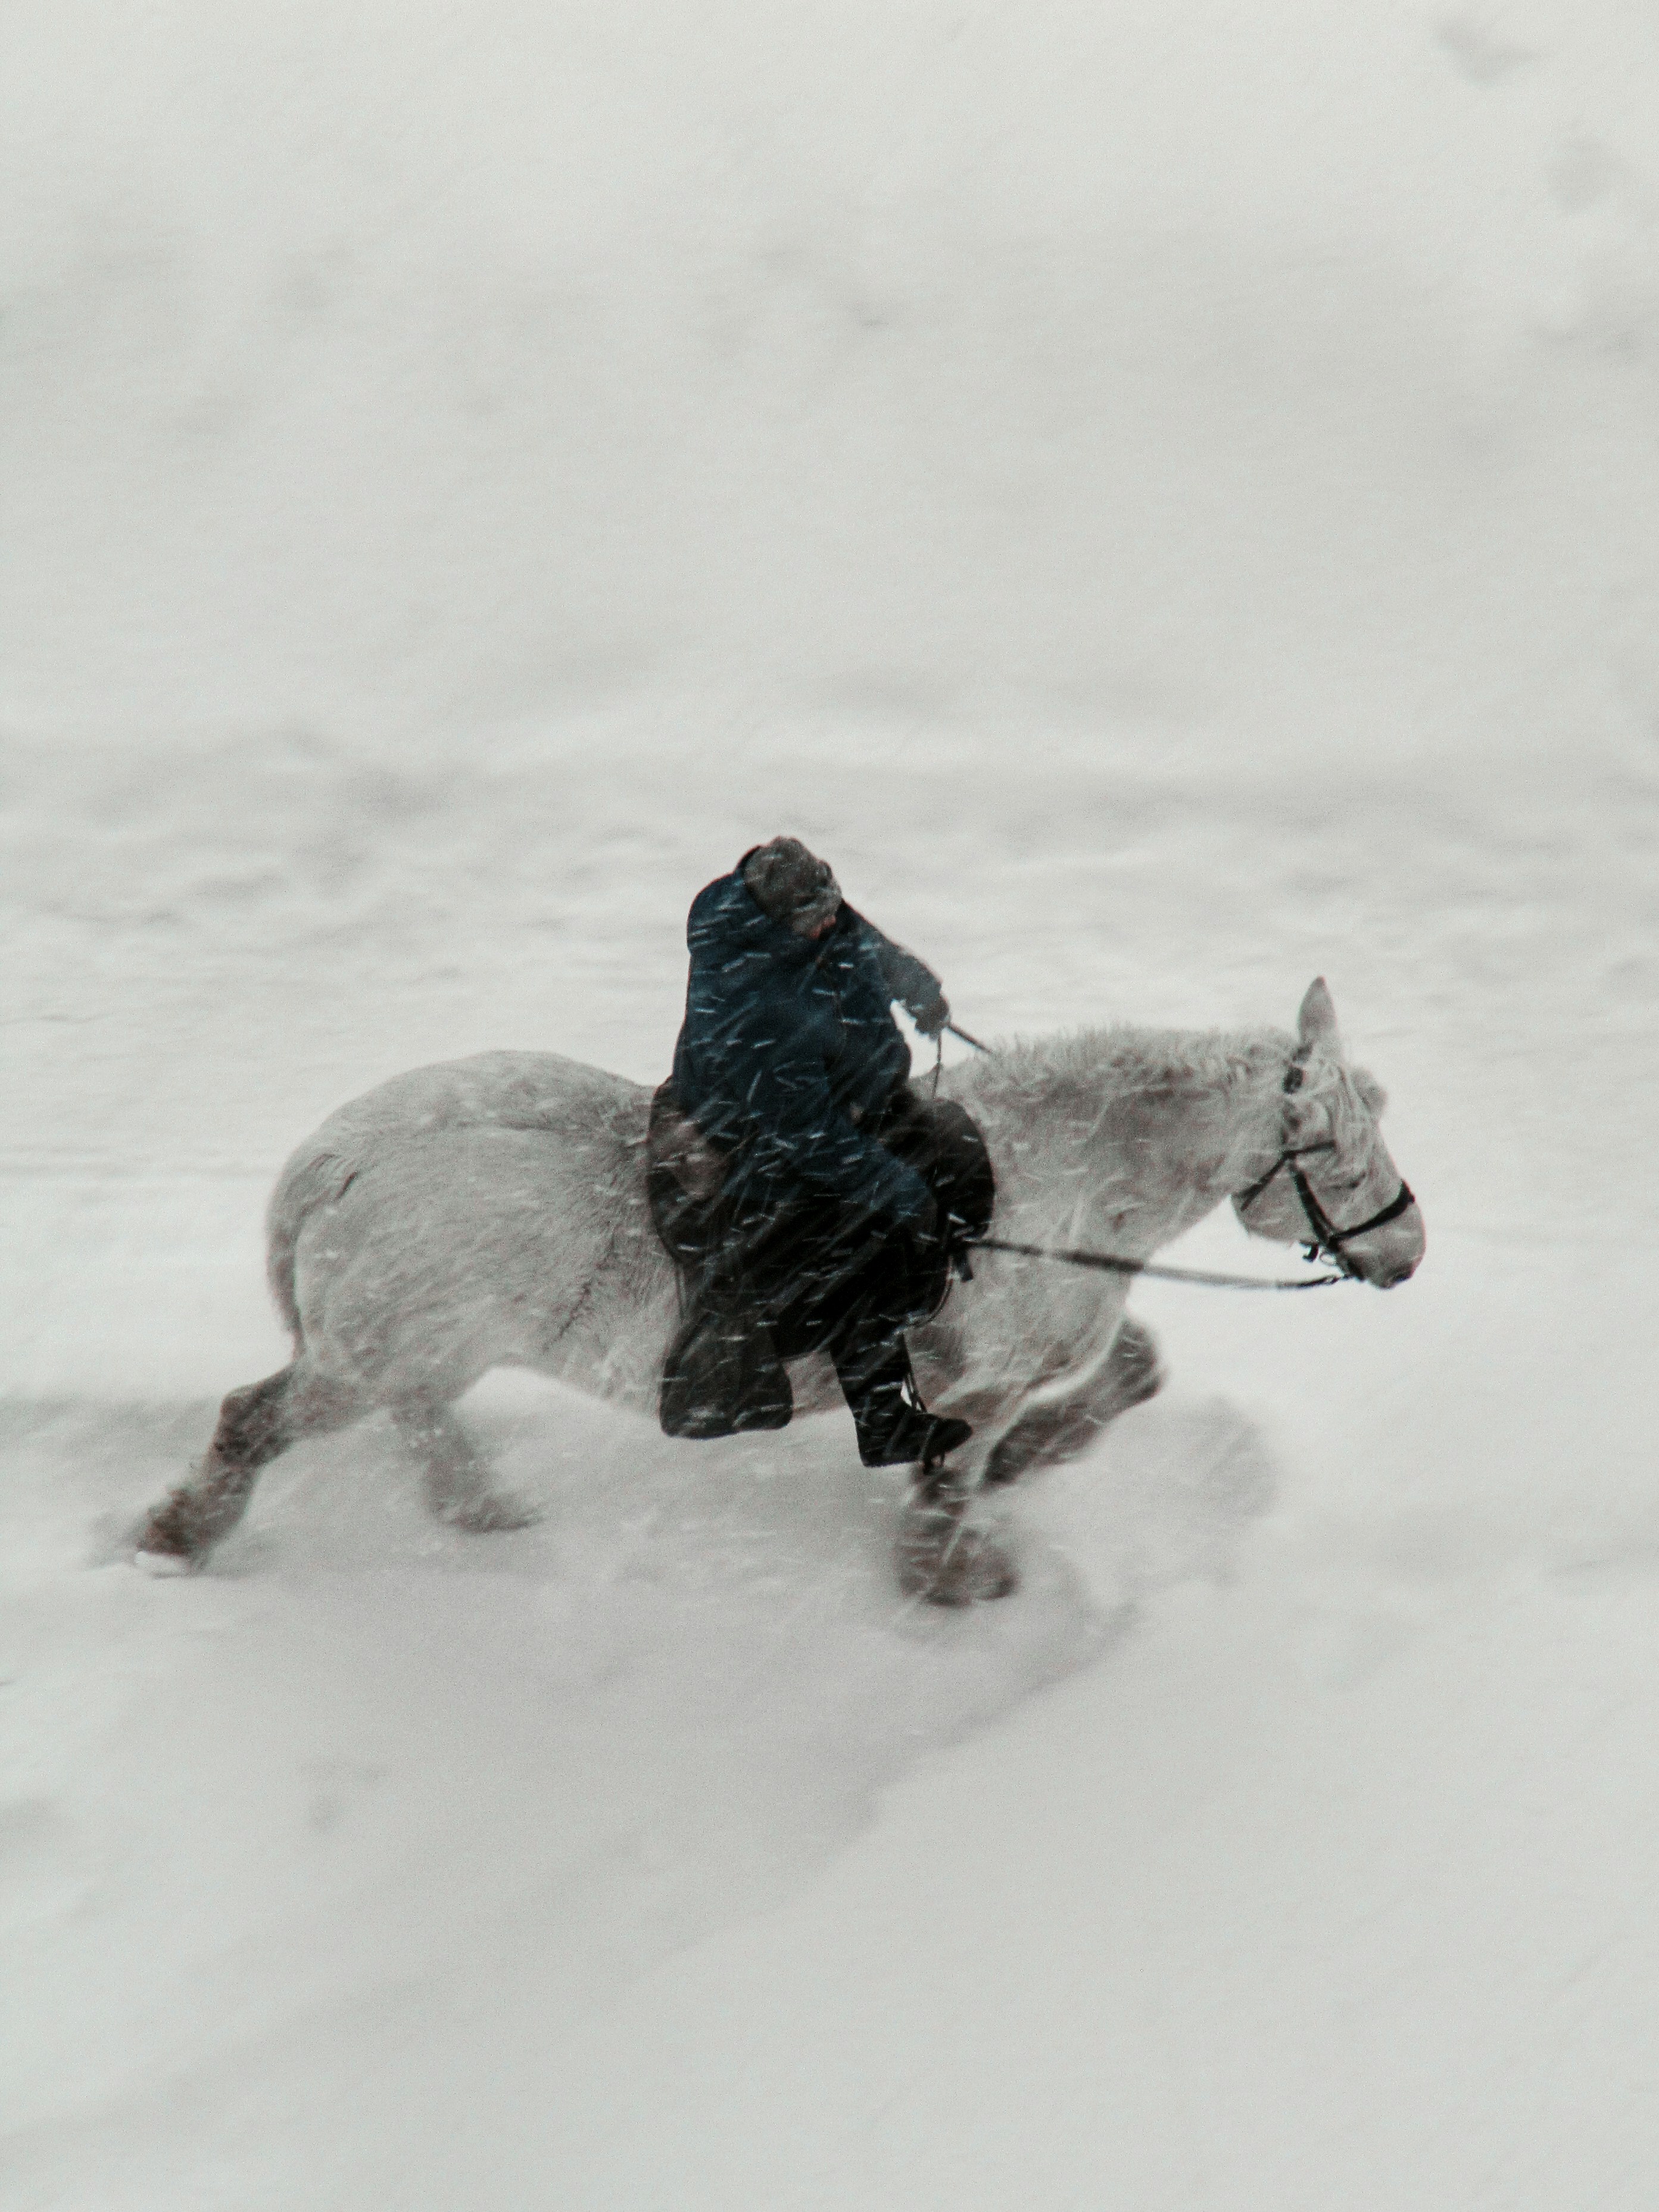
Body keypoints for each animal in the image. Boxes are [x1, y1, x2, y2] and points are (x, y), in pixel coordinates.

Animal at [135, 977, 1424, 1603]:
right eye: (1340, 1151)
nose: (1406, 1251)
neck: (1052, 1176)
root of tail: (338, 1158)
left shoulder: (1053, 1340)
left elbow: (1130, 1370)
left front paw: (1022, 1472)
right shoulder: (980, 1373)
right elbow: (960, 1467)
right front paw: (952, 1573)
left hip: (405, 1353)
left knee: (413, 1423)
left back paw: (481, 1510)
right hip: (369, 1357)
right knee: (256, 1419)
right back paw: (179, 1535)